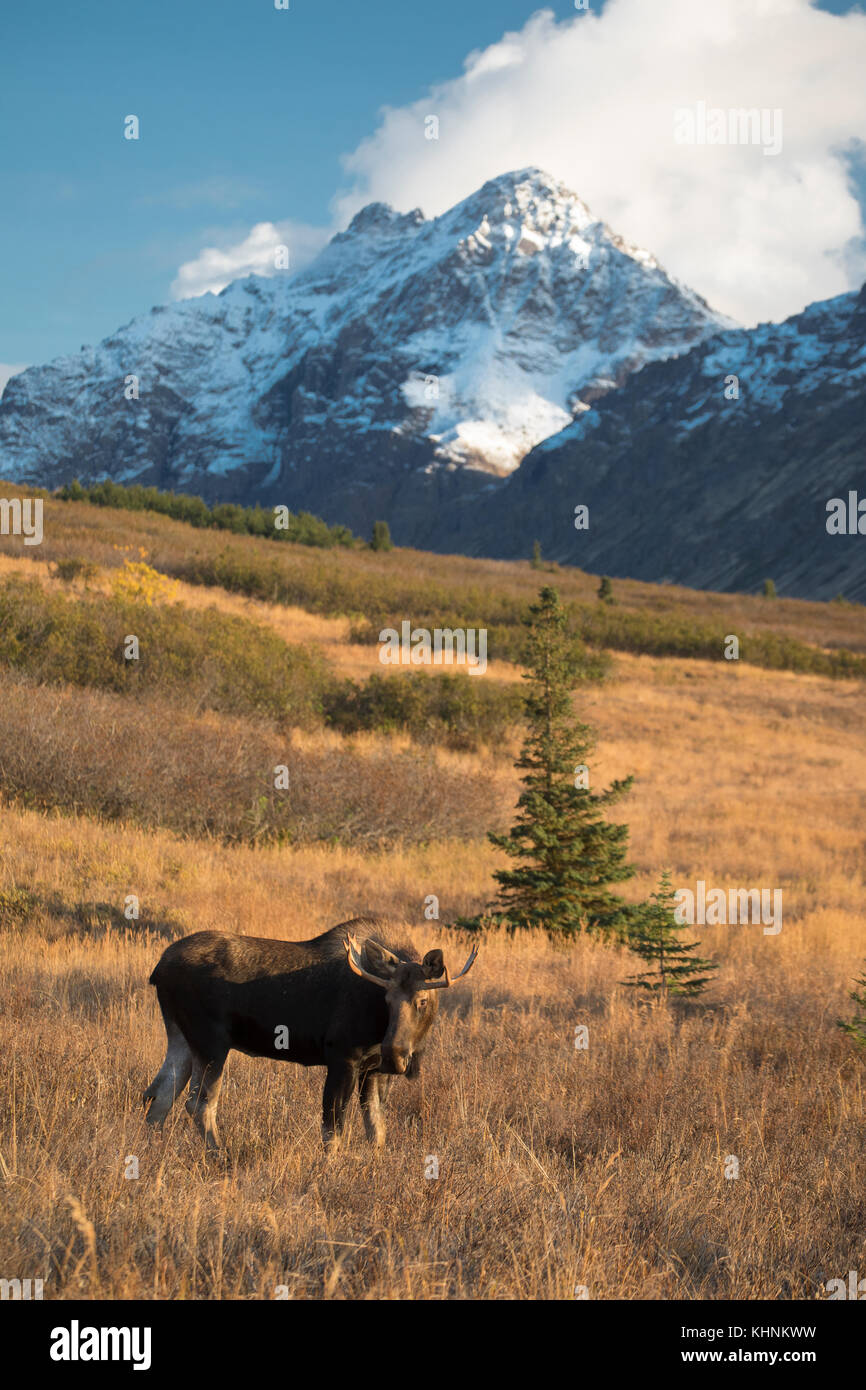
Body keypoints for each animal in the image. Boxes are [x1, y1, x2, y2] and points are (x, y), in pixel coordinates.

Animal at [142, 917, 478, 1153]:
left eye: (422, 1001)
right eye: (387, 999)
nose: (394, 1054)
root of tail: (158, 969)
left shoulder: (372, 1070)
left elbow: (376, 1130)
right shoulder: (343, 1059)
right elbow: (333, 1131)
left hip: (183, 1038)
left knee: (158, 1095)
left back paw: (152, 1154)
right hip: (212, 1043)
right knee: (199, 1104)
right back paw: (219, 1155)